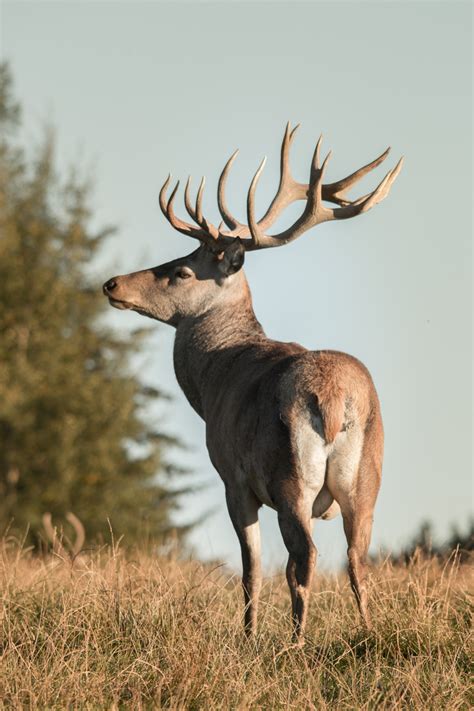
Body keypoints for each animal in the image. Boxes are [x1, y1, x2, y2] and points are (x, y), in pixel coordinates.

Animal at [103, 123, 402, 643]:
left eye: (182, 270)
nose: (113, 284)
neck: (214, 379)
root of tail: (335, 398)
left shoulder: (234, 478)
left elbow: (251, 568)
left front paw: (249, 635)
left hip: (289, 476)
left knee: (305, 557)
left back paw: (296, 642)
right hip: (368, 476)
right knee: (357, 559)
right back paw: (367, 633)